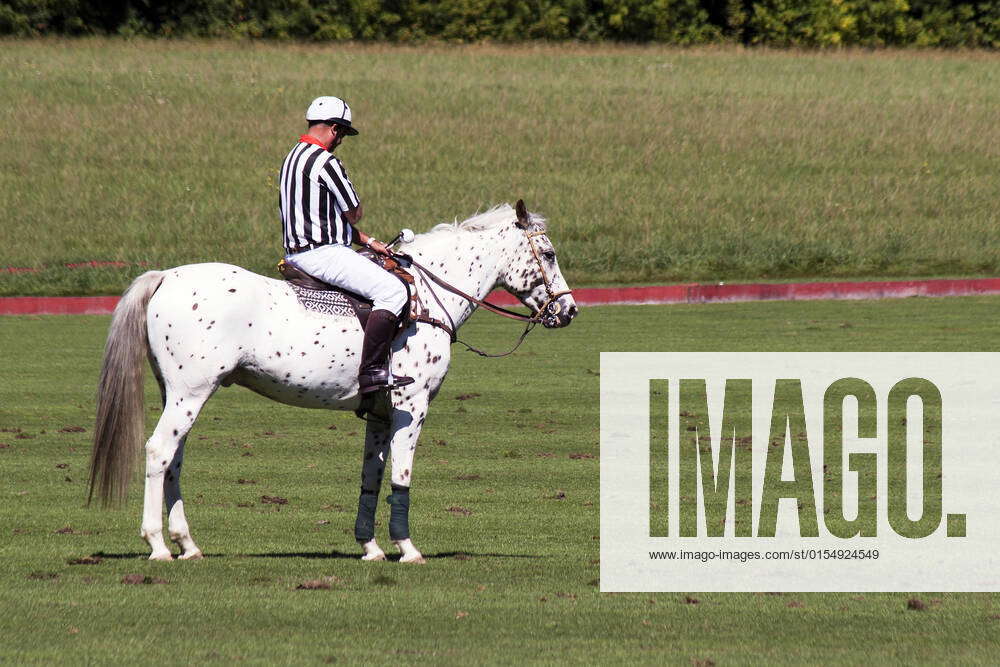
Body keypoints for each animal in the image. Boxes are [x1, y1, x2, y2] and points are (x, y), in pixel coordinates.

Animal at [88, 201, 577, 563]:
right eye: (549, 254)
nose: (569, 311)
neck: (426, 298)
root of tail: (165, 276)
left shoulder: (380, 412)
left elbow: (371, 477)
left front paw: (371, 546)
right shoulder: (412, 403)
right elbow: (401, 474)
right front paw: (408, 548)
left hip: (179, 393)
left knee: (175, 458)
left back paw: (187, 544)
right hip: (191, 392)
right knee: (158, 451)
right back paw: (156, 544)